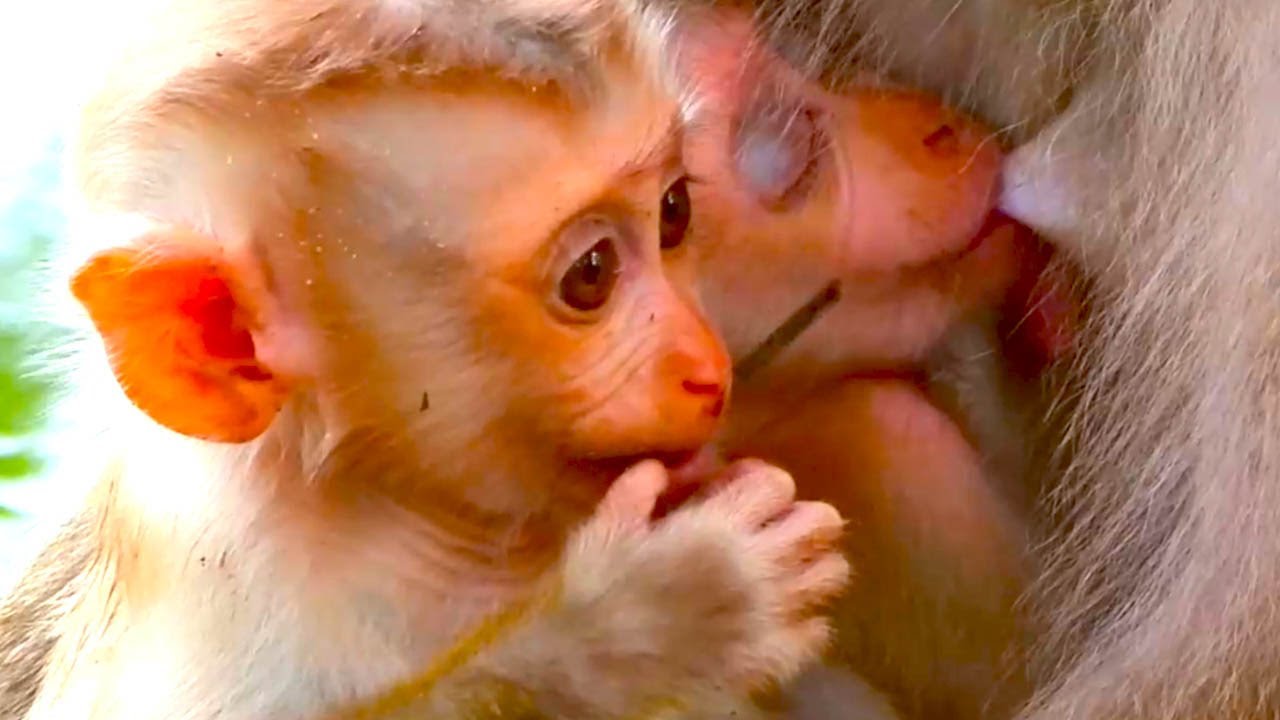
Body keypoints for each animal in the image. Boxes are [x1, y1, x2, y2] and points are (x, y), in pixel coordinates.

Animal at [1, 2, 858, 718]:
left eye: (674, 212)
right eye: (592, 273)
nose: (707, 365)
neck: (399, 511)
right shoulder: (225, 591)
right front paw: (651, 619)